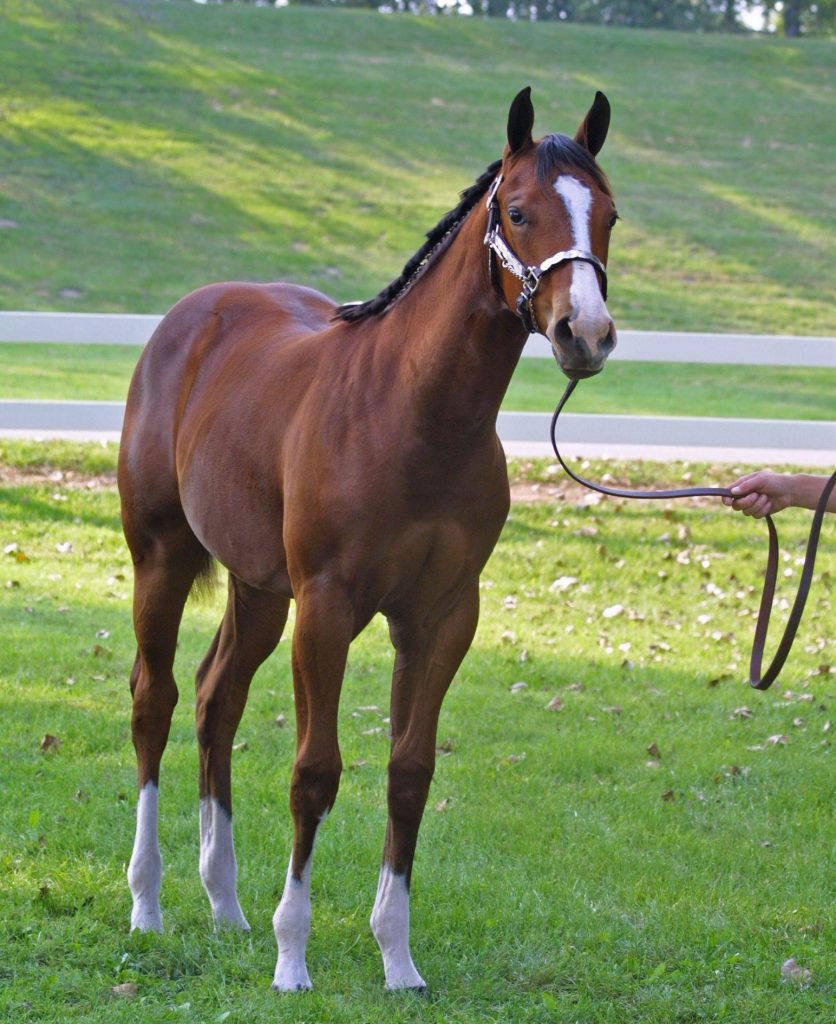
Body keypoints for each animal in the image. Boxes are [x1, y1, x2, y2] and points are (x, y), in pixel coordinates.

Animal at [118, 86, 618, 992]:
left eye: (610, 215)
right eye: (518, 211)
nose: (585, 333)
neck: (413, 416)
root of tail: (191, 316)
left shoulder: (441, 617)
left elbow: (409, 773)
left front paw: (397, 957)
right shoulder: (329, 608)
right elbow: (315, 772)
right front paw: (292, 957)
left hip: (258, 588)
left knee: (215, 698)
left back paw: (225, 904)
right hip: (163, 559)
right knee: (155, 699)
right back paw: (149, 904)